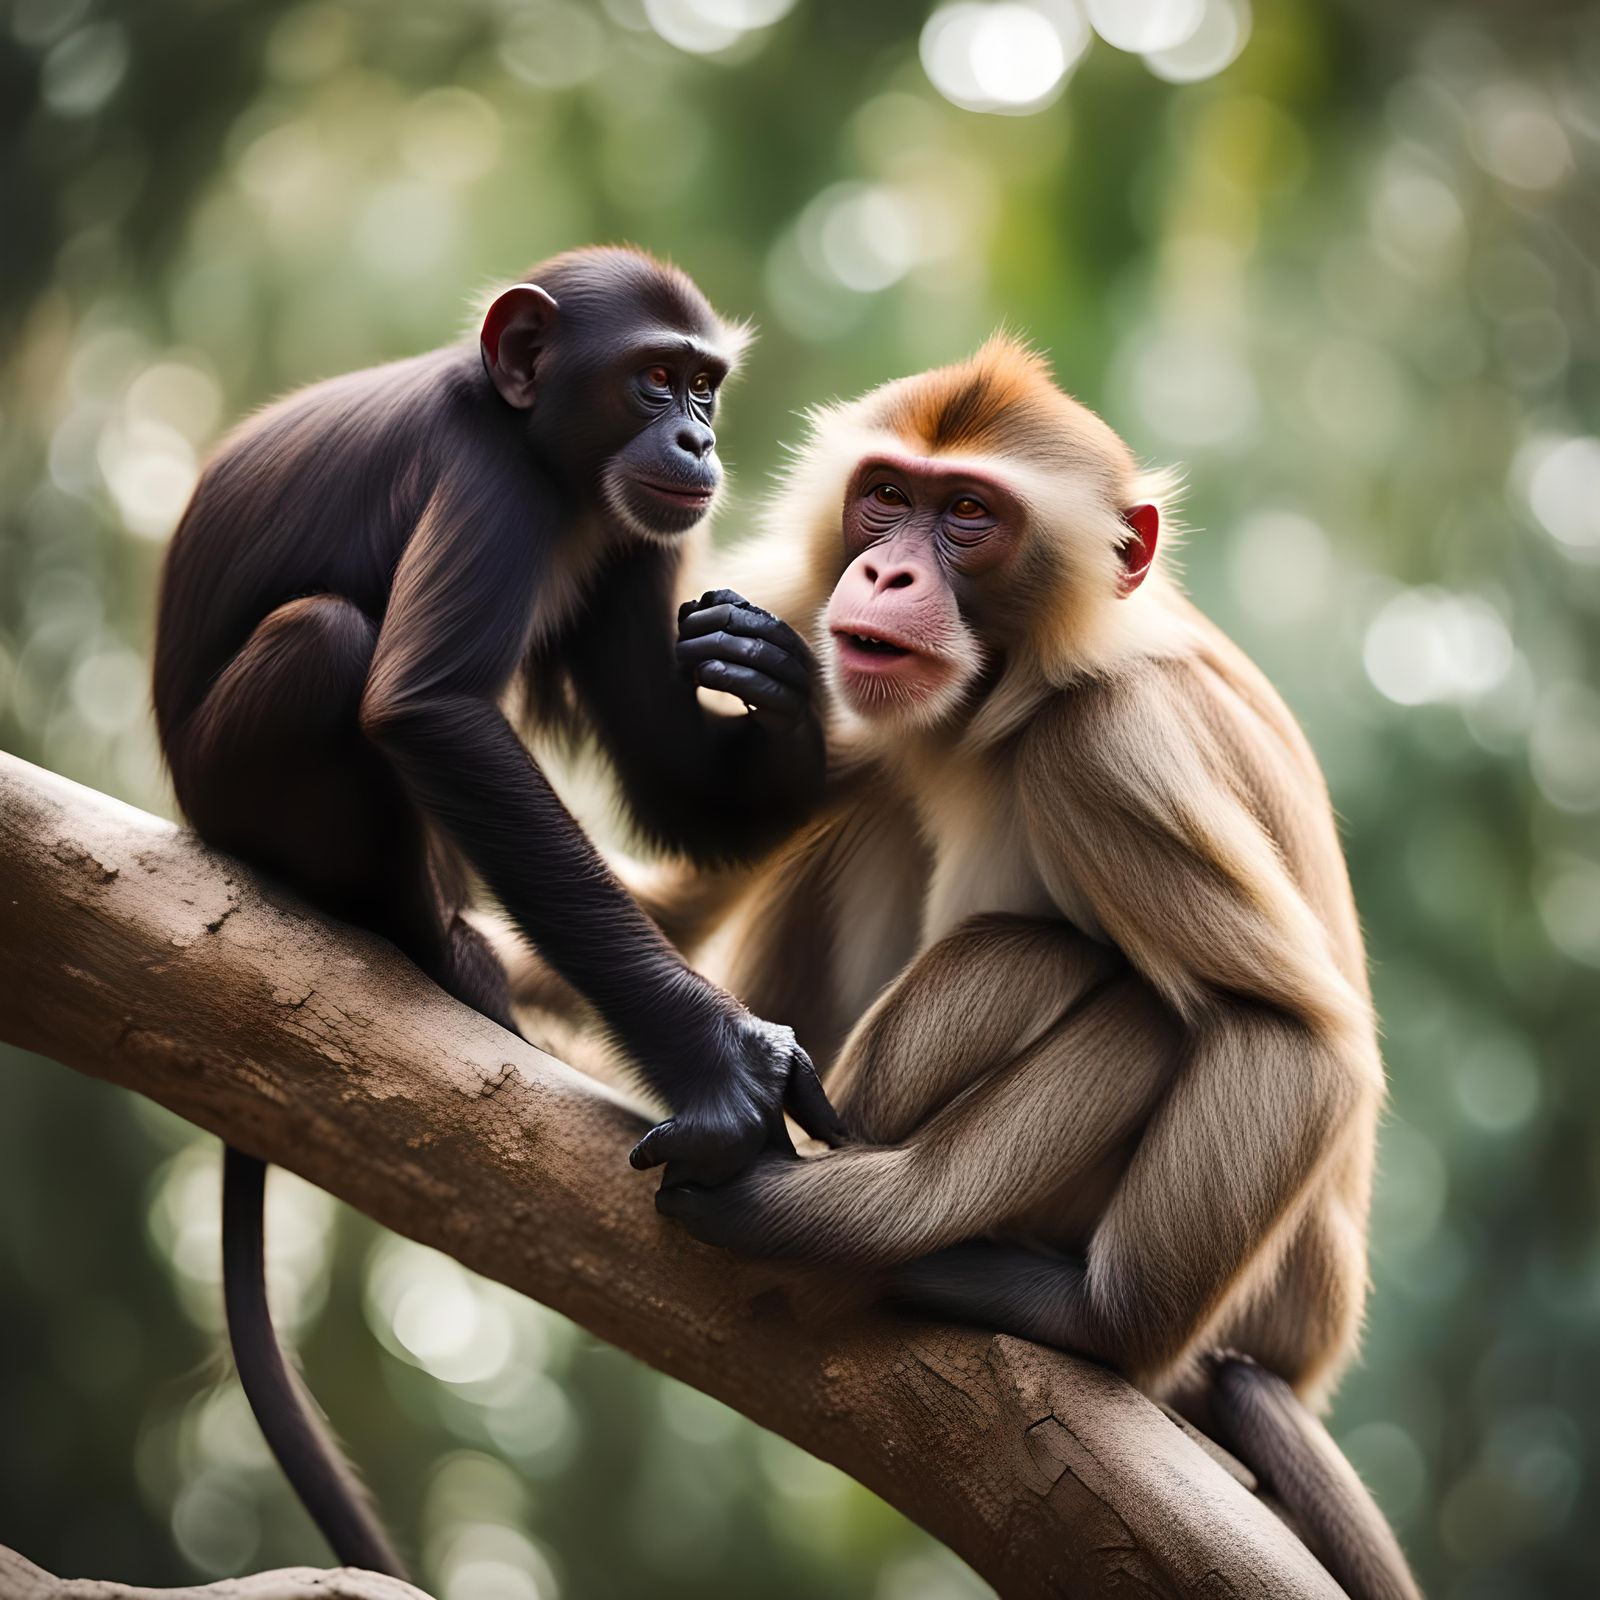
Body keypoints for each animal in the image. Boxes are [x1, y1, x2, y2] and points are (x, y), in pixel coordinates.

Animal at [151, 246, 844, 1578]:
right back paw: (420, 940)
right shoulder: (484, 477)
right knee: (329, 642)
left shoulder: (636, 544)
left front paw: (777, 677)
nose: (695, 435)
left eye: (704, 384)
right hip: (236, 790)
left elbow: (674, 785)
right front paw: (723, 1064)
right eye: (652, 380)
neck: (552, 461)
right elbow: (428, 710)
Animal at [534, 337, 1421, 1600]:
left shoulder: (1112, 750)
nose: (888, 573)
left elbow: (1290, 1031)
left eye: (968, 515)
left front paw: (1070, 1313)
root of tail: (1312, 1353)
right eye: (885, 497)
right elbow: (701, 889)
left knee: (1098, 985)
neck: (1003, 694)